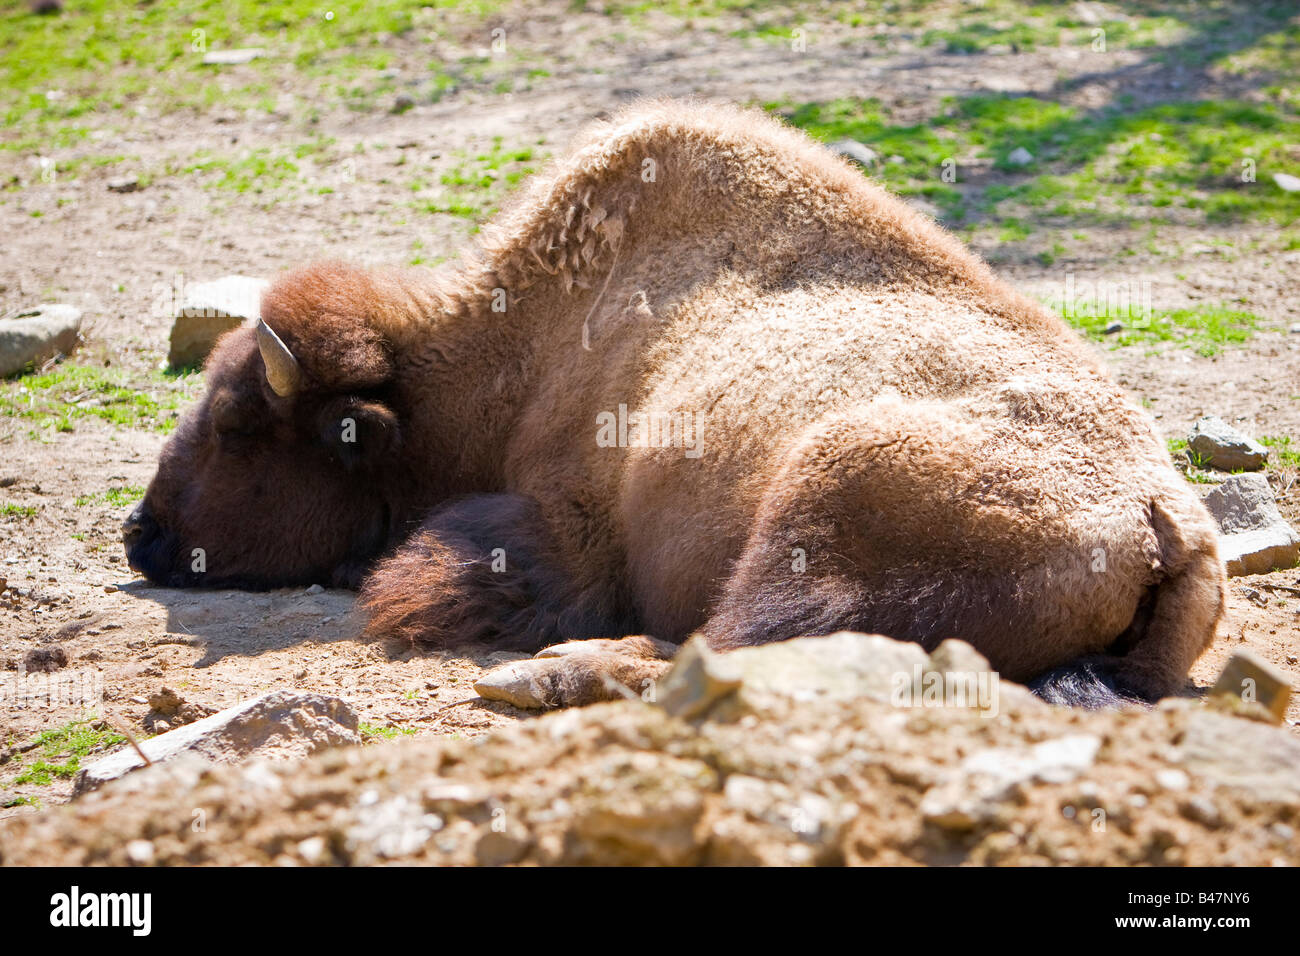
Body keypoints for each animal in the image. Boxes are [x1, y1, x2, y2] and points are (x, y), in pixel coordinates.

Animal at [125, 100, 1225, 709]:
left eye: (237, 427)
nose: (141, 535)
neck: (519, 347)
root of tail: (1165, 524)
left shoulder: (561, 528)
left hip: (817, 501)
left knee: (729, 650)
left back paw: (554, 672)